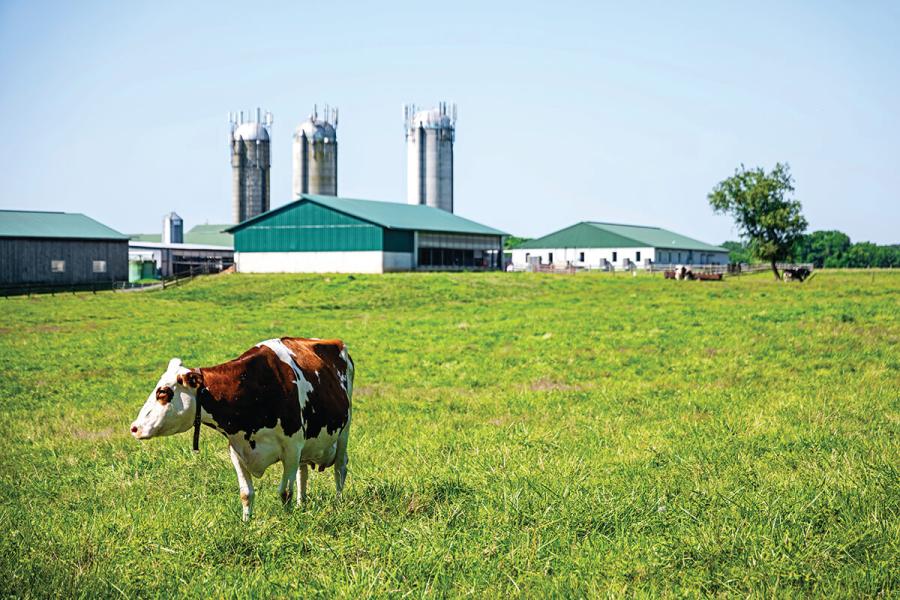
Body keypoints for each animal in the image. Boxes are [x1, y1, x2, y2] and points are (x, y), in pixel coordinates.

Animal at [130, 337, 354, 521]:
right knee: (303, 472)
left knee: (339, 467)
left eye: (163, 392)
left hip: (344, 430)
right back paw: (302, 505)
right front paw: (247, 524)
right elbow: (246, 493)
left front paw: (287, 521)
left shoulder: (292, 447)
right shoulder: (236, 450)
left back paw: (338, 502)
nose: (134, 428)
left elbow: (285, 492)